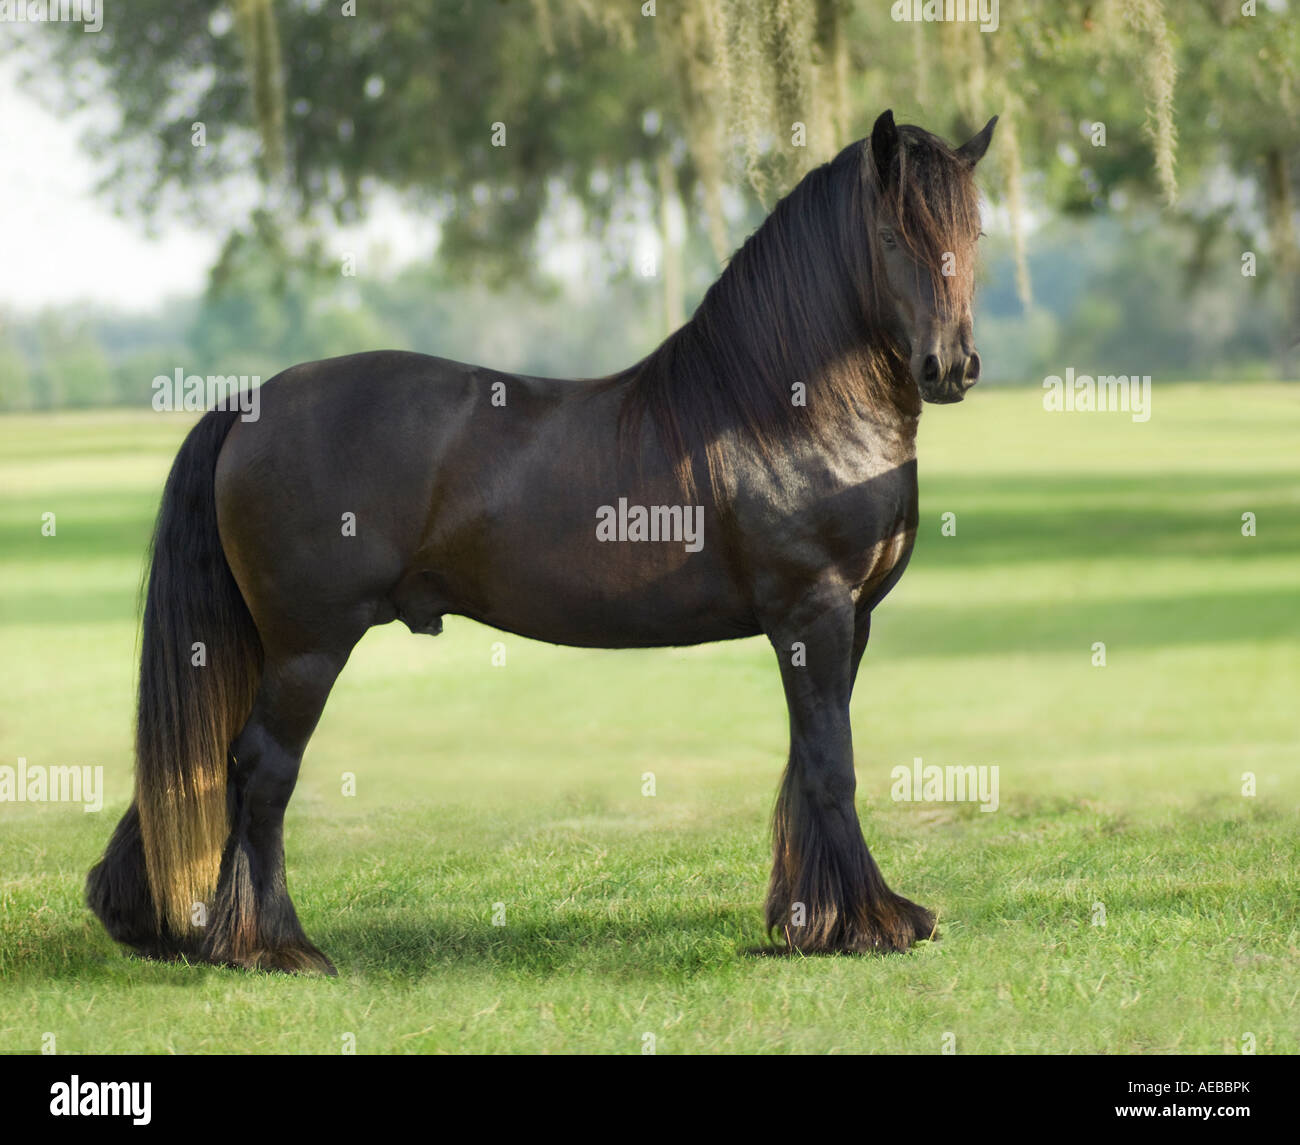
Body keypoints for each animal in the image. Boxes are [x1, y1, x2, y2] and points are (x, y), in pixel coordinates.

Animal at [87, 109, 997, 974]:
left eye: (975, 235)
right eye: (894, 237)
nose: (950, 366)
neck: (782, 409)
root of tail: (246, 404)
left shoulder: (850, 621)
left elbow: (809, 759)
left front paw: (816, 919)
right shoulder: (814, 612)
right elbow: (832, 764)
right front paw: (872, 924)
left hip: (258, 644)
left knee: (203, 765)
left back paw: (155, 920)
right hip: (308, 647)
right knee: (260, 768)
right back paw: (271, 945)